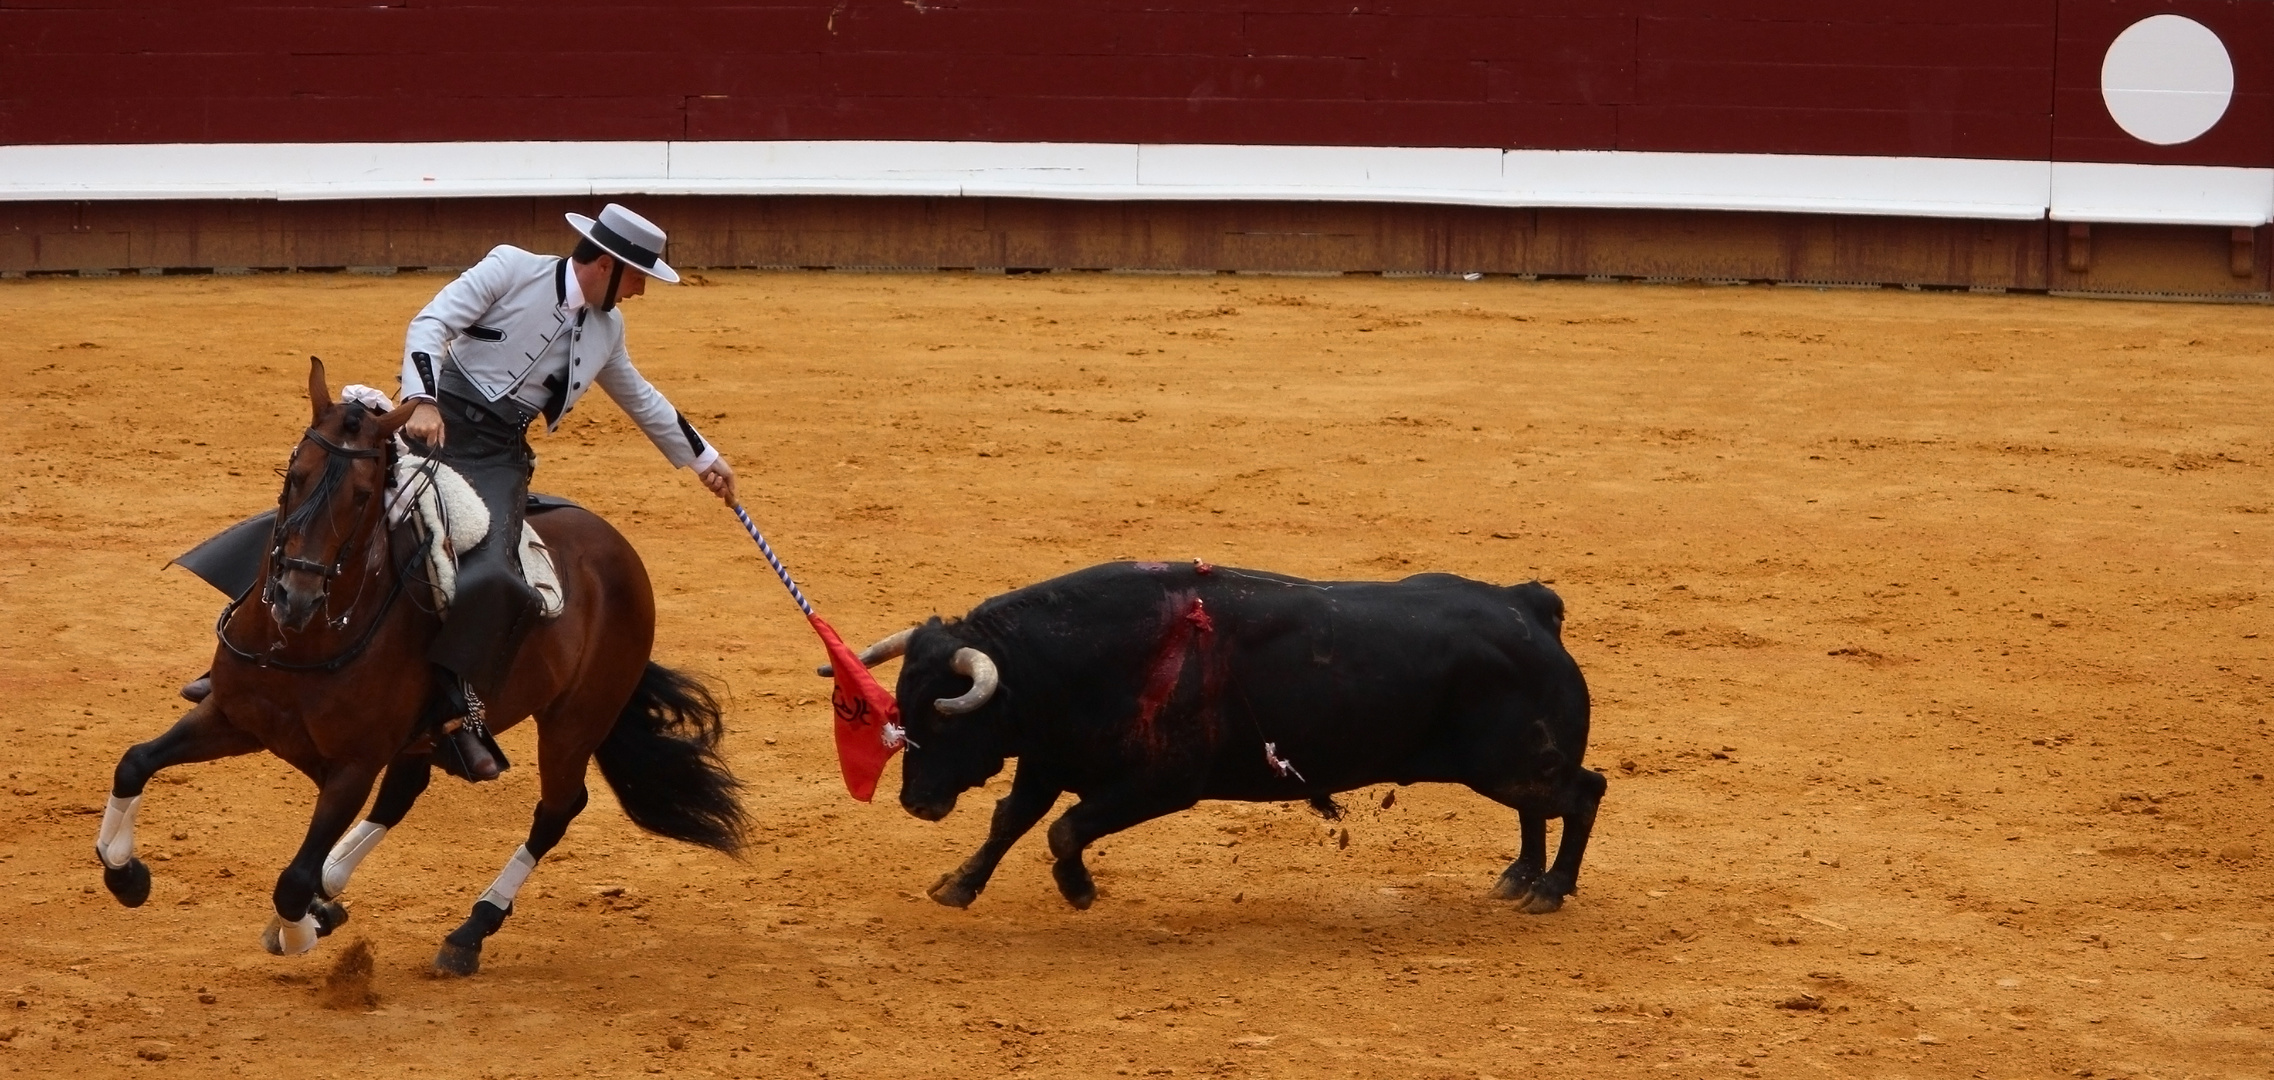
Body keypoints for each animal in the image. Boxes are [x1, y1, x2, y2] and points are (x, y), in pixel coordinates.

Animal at [95, 357, 747, 975]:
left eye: (363, 496)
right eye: (293, 474)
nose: (294, 598)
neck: (304, 643)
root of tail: (616, 548)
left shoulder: (352, 766)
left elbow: (292, 880)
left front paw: (299, 931)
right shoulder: (234, 717)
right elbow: (134, 763)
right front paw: (125, 874)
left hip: (574, 722)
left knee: (557, 810)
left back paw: (468, 933)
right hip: (433, 735)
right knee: (406, 792)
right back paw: (337, 894)